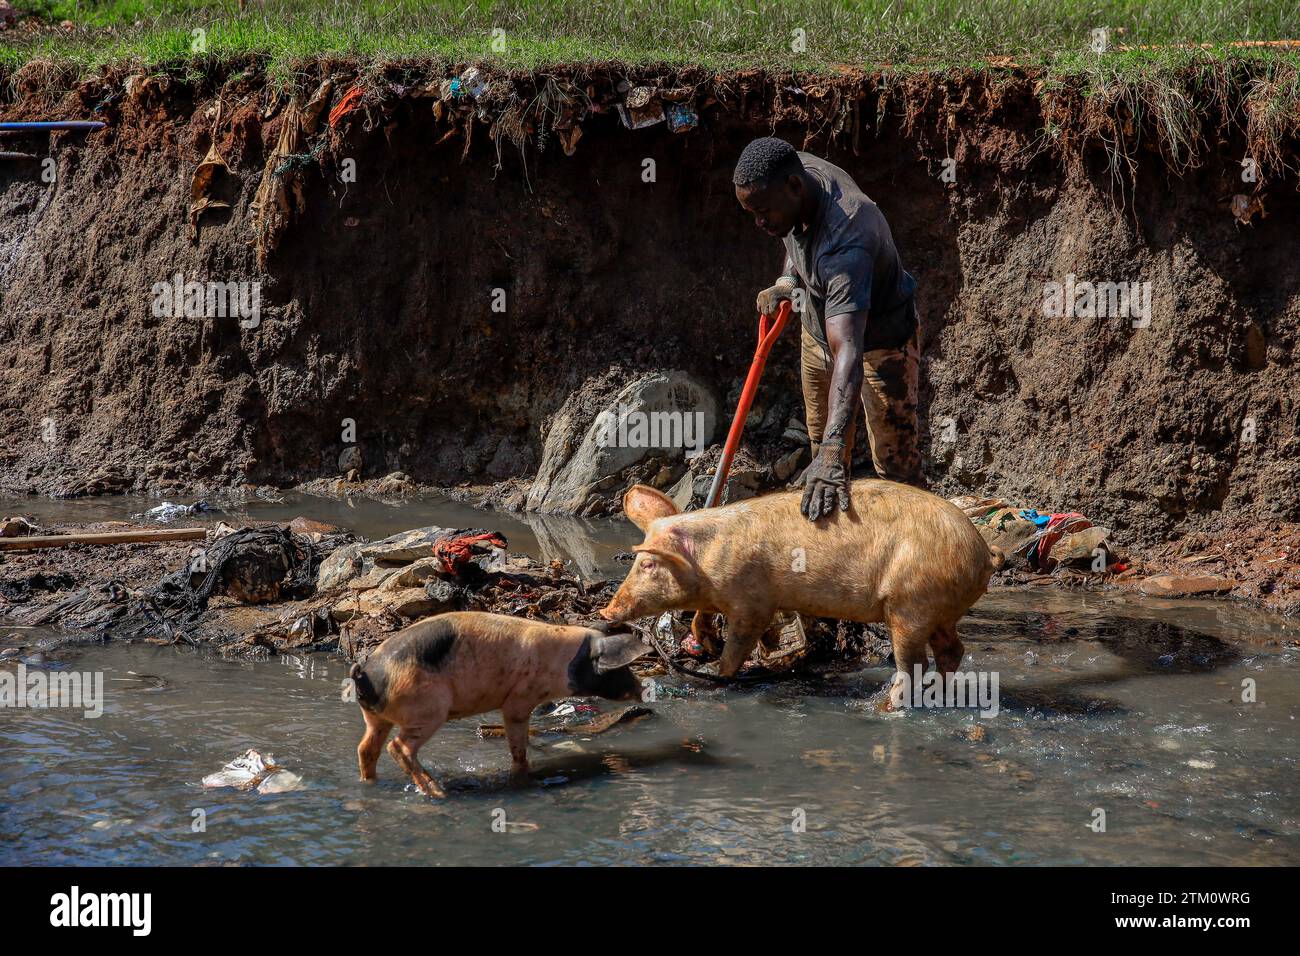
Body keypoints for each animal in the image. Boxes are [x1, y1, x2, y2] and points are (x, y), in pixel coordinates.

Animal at [349, 611, 651, 797]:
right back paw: (437, 792)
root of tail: (366, 677)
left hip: (376, 717)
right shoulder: (520, 698)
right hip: (427, 710)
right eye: (620, 668)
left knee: (366, 747)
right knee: (398, 747)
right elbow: (517, 742)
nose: (641, 688)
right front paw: (524, 774)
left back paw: (370, 782)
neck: (567, 662)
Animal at [601, 480, 1002, 708]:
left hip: (911, 604)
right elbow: (717, 620)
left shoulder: (753, 602)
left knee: (914, 664)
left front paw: (715, 671)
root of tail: (983, 552)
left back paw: (885, 708)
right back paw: (940, 692)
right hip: (940, 611)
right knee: (952, 650)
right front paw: (708, 640)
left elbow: (741, 641)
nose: (606, 612)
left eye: (647, 564)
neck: (707, 561)